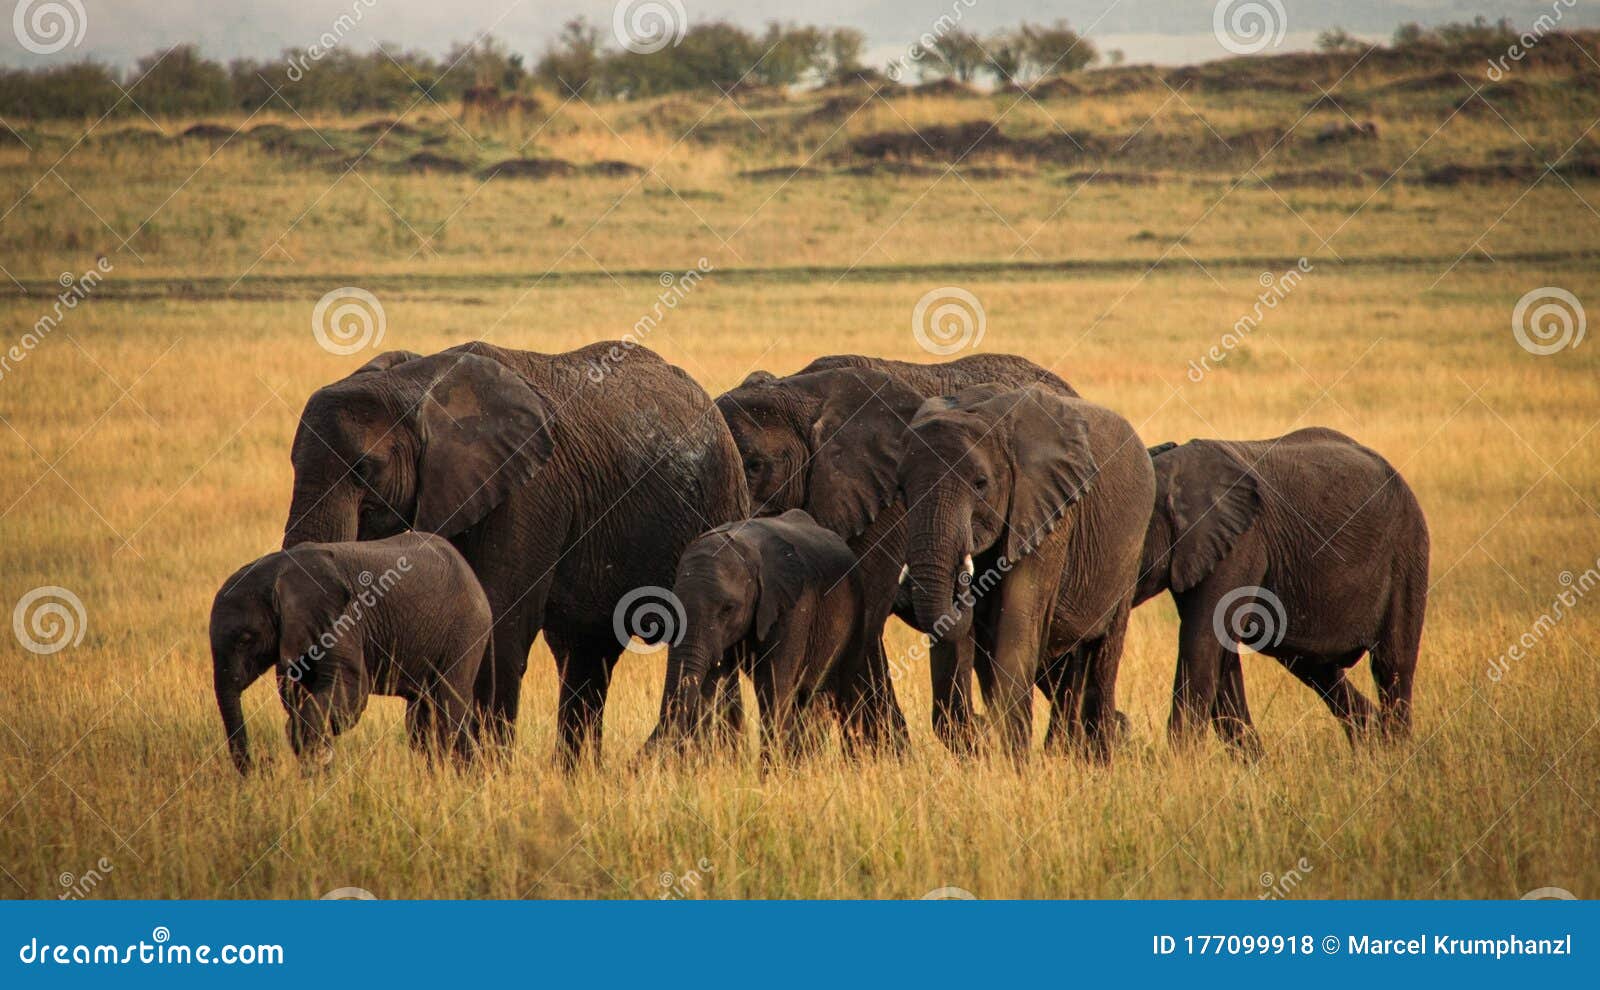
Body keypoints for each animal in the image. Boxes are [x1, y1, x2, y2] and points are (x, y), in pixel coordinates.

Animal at [209, 532, 492, 772]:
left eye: (245, 640)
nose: (264, 764)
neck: (277, 569)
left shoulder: (340, 621)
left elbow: (353, 691)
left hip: (466, 632)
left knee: (447, 708)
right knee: (422, 719)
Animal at [280, 341, 750, 767]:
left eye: (364, 470)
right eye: (292, 464)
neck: (416, 385)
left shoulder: (530, 492)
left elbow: (500, 619)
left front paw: (483, 772)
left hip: (718, 500)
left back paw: (719, 765)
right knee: (586, 650)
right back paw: (576, 775)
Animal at [649, 509, 870, 760]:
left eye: (728, 608)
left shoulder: (793, 606)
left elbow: (773, 686)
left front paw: (774, 769)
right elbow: (712, 686)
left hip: (856, 613)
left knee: (840, 693)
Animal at [897, 385, 1155, 760]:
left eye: (980, 483)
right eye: (901, 489)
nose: (963, 576)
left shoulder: (1050, 511)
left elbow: (1017, 624)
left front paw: (1012, 763)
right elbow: (955, 643)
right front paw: (981, 753)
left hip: (1128, 556)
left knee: (1103, 656)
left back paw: (1097, 758)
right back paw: (1061, 754)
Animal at [1134, 428, 1428, 749]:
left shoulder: (1241, 546)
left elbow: (1202, 644)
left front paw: (1180, 760)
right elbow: (1222, 662)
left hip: (1407, 550)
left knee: (1392, 665)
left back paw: (1396, 751)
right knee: (1318, 669)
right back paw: (1372, 745)